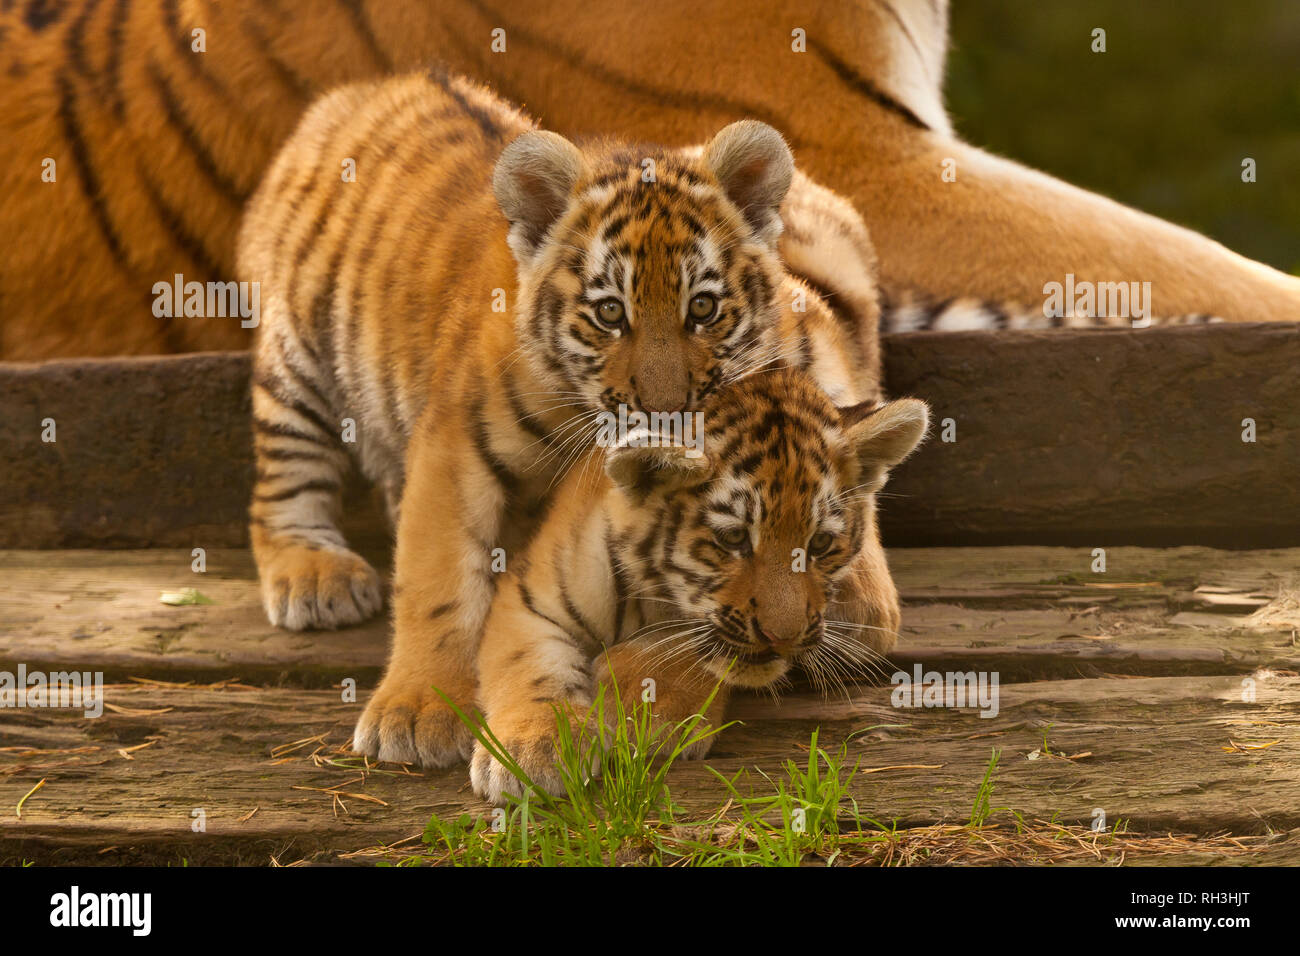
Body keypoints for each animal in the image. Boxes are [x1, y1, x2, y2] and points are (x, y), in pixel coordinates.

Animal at [238, 70, 893, 767]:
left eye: (704, 308)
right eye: (609, 313)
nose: (666, 413)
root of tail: (362, 88)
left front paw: (647, 697)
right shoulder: (454, 449)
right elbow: (439, 580)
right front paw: (419, 712)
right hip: (296, 358)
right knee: (283, 481)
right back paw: (315, 575)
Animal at [470, 367, 928, 803]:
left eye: (819, 543)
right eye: (734, 538)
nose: (783, 638)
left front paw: (645, 712)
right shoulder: (527, 596)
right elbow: (528, 668)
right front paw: (533, 750)